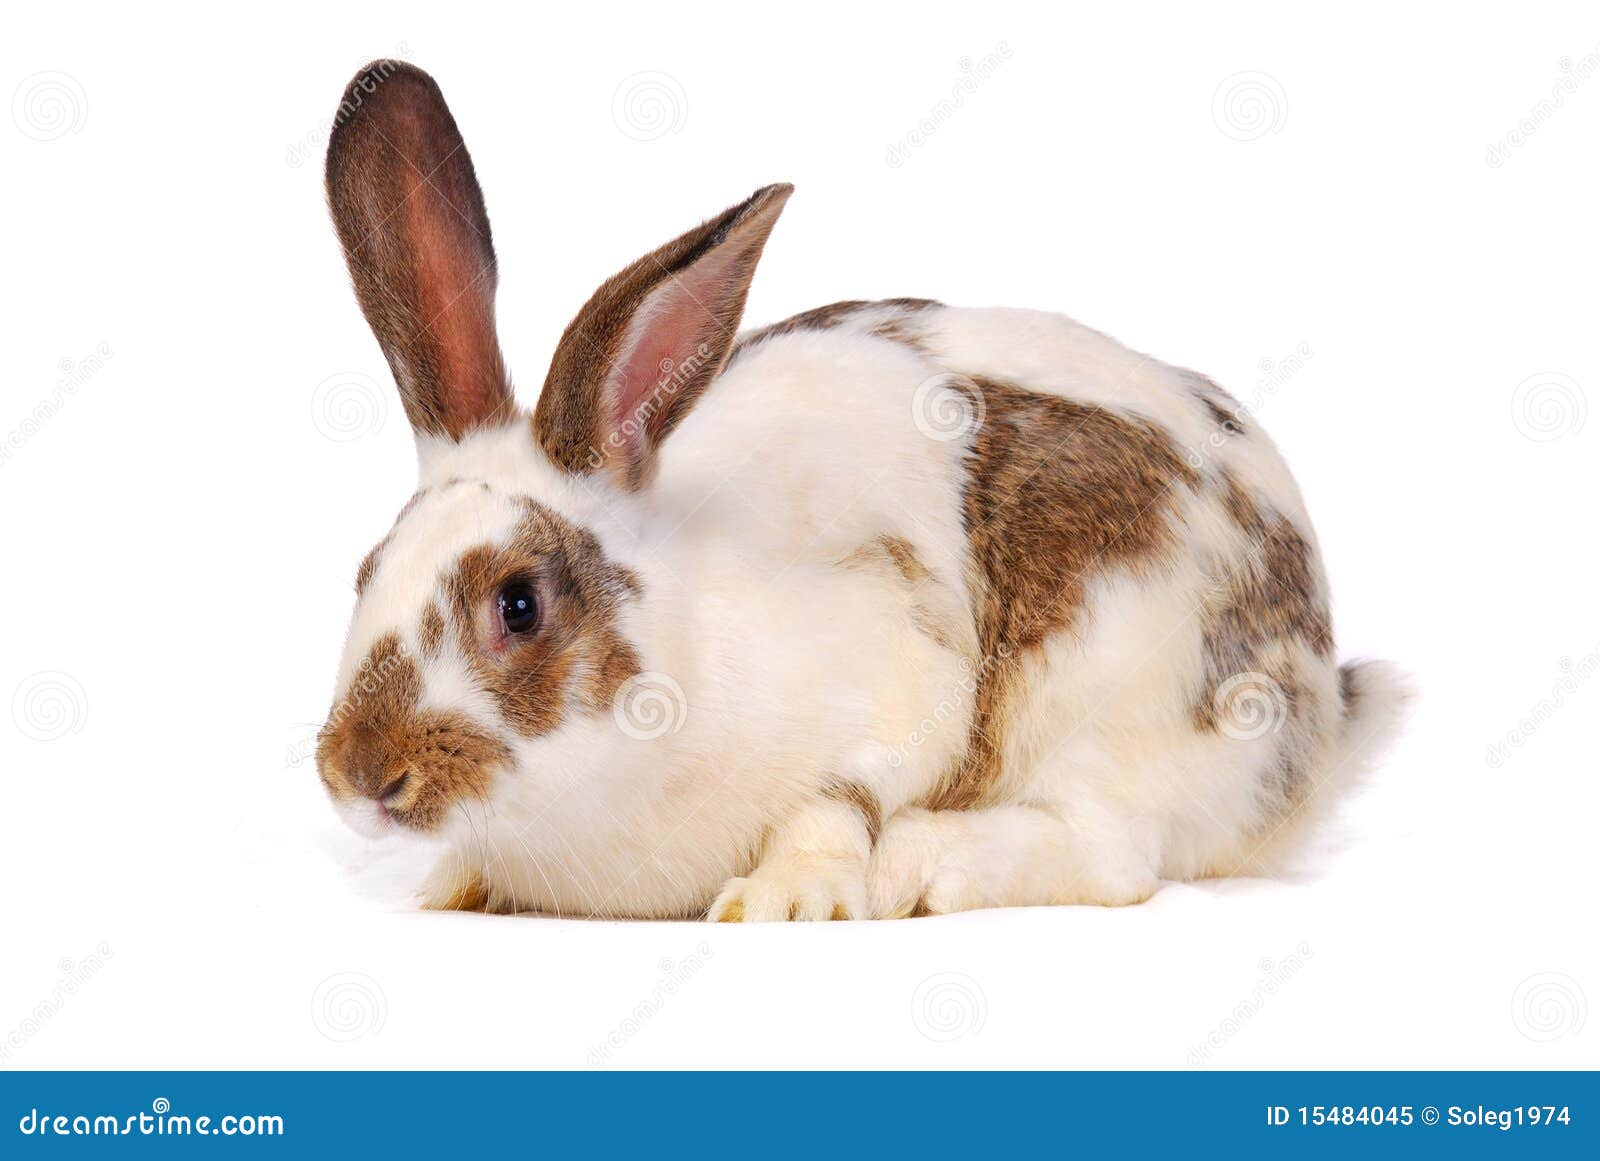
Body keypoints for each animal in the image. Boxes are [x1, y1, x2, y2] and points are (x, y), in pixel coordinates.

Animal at [313, 61, 1410, 921]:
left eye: (519, 604)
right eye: (364, 571)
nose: (358, 775)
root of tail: (1317, 721)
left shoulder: (897, 681)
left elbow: (831, 802)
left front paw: (786, 899)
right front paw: (452, 886)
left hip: (1116, 681)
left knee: (1112, 853)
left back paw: (922, 868)